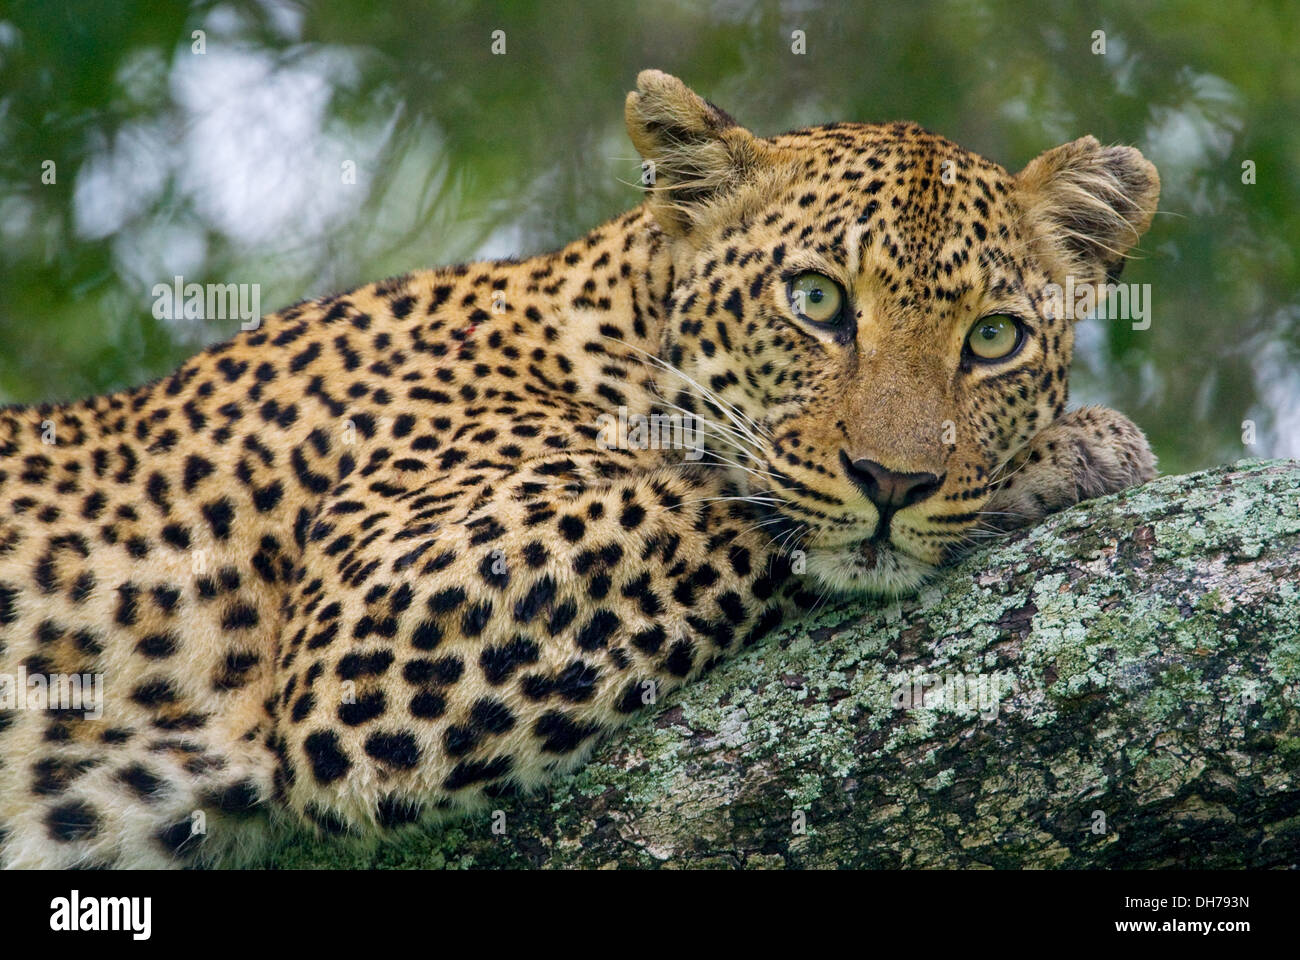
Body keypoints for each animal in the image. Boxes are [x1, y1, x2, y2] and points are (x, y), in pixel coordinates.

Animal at [0, 70, 1158, 868]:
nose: (893, 482)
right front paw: (1076, 450)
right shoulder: (379, 618)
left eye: (995, 338)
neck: (606, 333)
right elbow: (719, 501)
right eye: (818, 300)